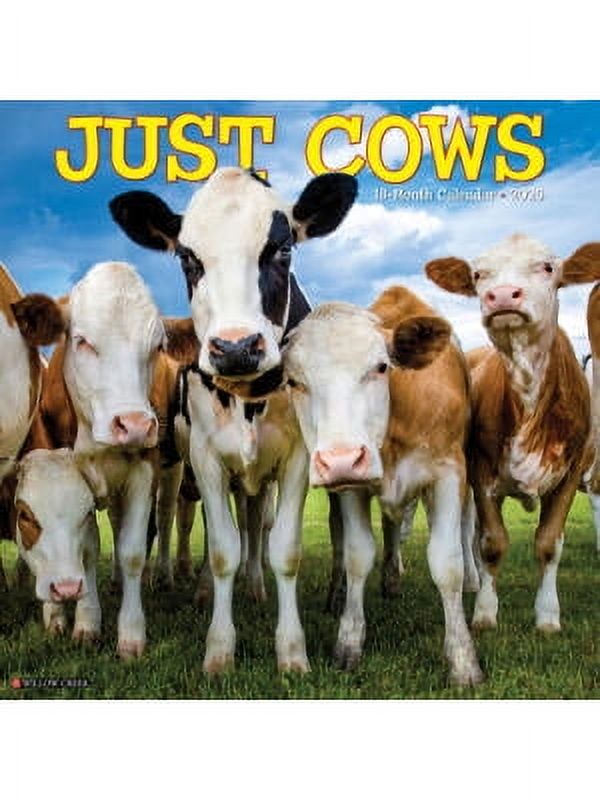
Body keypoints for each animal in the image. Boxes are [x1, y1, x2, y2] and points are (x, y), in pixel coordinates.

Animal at [12, 261, 165, 658]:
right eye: (82, 340)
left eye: (158, 346)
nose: (135, 424)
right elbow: (87, 547)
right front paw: (76, 621)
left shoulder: (146, 470)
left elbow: (131, 551)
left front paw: (130, 634)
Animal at [109, 167, 358, 673]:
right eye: (188, 259)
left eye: (283, 249)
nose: (237, 347)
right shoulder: (205, 458)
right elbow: (223, 548)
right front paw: (219, 649)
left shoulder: (297, 458)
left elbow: (283, 548)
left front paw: (291, 651)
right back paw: (205, 587)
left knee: (256, 522)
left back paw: (256, 584)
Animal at [282, 288, 483, 686]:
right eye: (294, 382)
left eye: (380, 367)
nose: (341, 460)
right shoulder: (352, 489)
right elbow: (358, 555)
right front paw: (348, 642)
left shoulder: (449, 474)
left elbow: (447, 563)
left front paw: (463, 659)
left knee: (465, 530)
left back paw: (470, 579)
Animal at [425, 234, 600, 632]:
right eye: (478, 274)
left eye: (548, 267)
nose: (503, 295)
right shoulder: (481, 471)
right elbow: (492, 542)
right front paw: (485, 612)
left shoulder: (572, 473)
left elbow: (549, 543)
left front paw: (548, 616)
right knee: (468, 529)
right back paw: (472, 580)